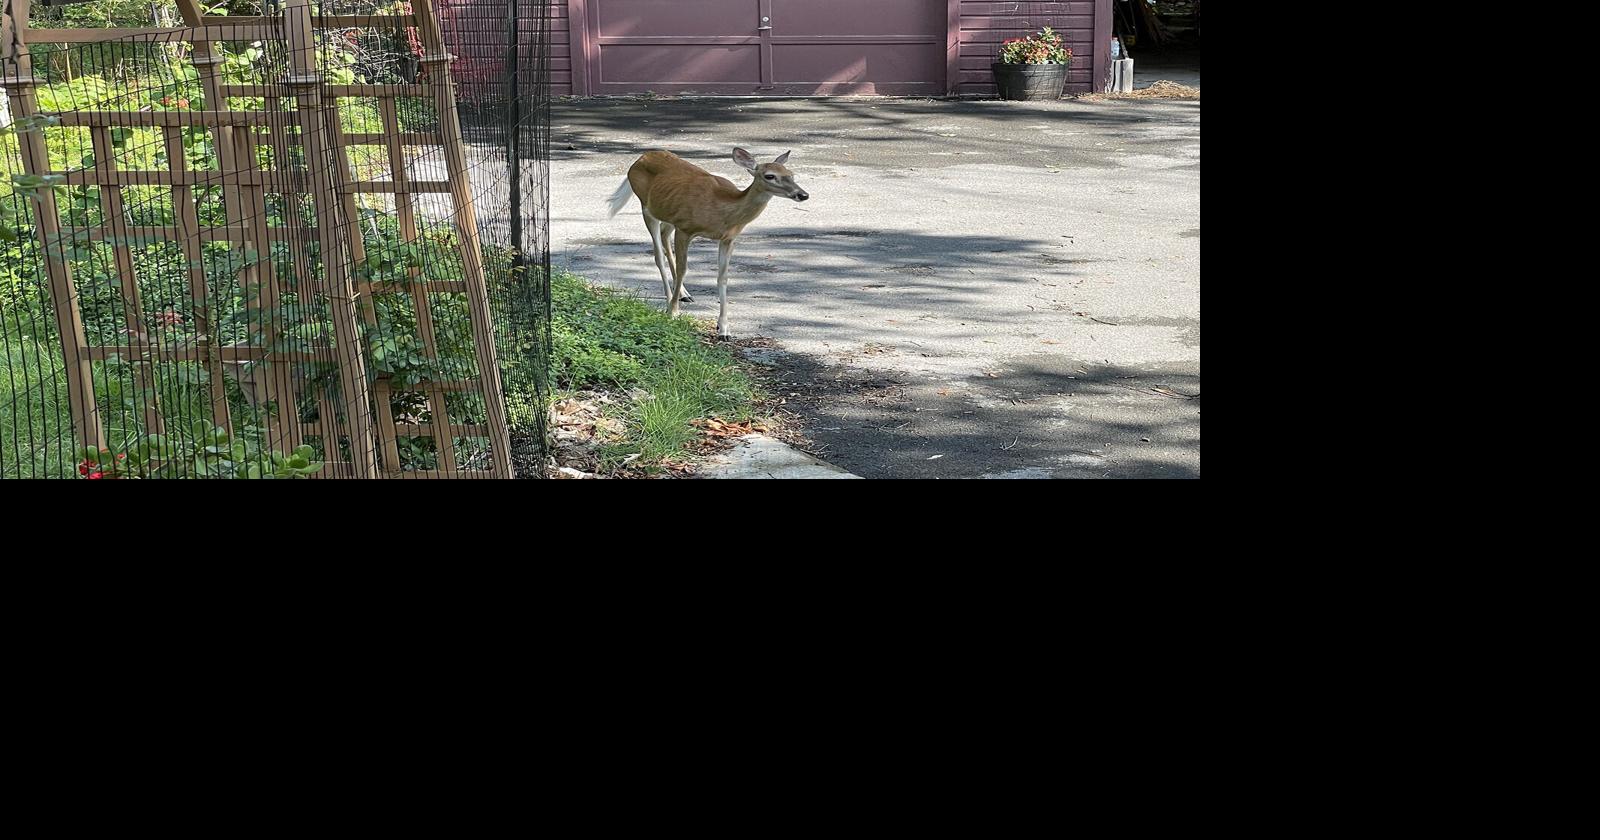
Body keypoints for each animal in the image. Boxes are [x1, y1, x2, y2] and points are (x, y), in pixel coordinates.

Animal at [605, 148, 809, 340]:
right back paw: (670, 298)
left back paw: (684, 294)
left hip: (668, 213)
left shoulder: (728, 239)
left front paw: (724, 329)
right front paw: (673, 312)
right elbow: (683, 269)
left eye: (791, 174)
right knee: (658, 255)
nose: (803, 194)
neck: (722, 212)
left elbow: (722, 277)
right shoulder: (685, 228)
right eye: (770, 176)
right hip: (648, 208)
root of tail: (640, 158)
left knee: (664, 235)